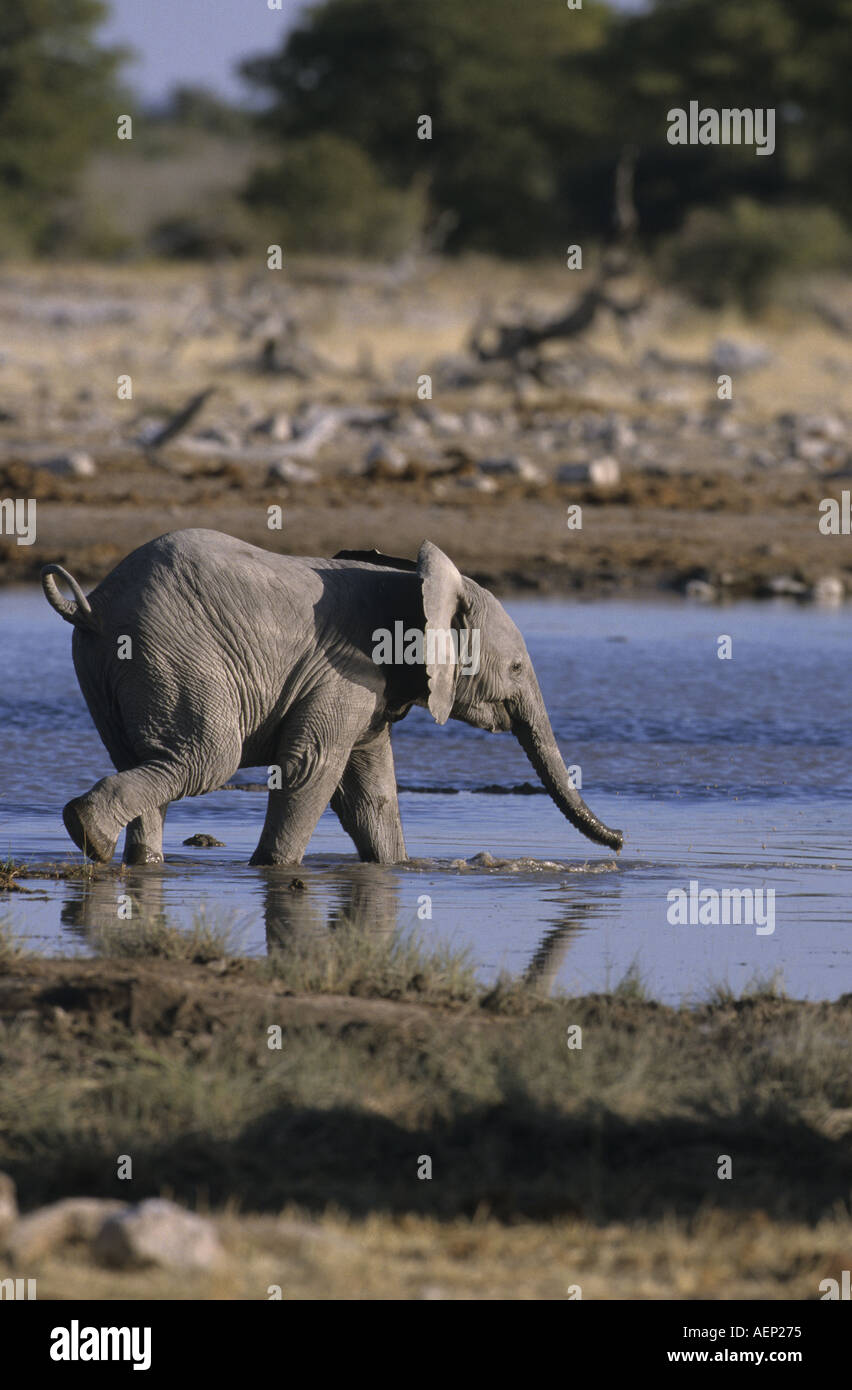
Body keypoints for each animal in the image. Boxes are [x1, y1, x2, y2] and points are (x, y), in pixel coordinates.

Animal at [41, 529, 623, 865]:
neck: (409, 586)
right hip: (174, 654)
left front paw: (397, 868)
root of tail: (92, 607)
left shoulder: (369, 691)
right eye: (517, 667)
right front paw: (272, 871)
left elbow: (372, 791)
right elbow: (310, 767)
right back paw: (88, 835)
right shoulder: (345, 672)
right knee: (208, 757)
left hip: (112, 666)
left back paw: (133, 859)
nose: (621, 840)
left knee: (141, 756)